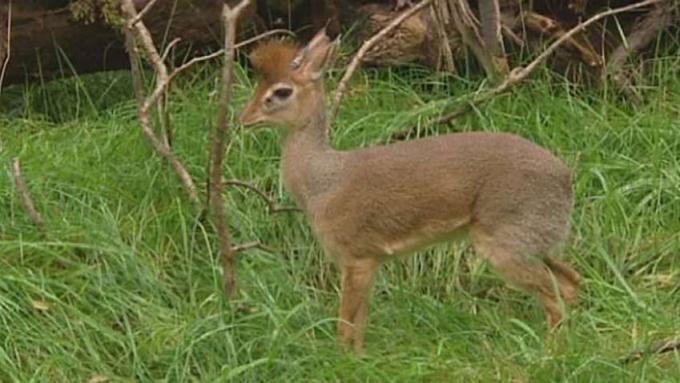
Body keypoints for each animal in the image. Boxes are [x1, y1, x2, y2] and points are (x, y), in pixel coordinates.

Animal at [238, 29, 580, 354]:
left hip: (506, 244)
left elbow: (345, 325)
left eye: (281, 91)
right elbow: (360, 325)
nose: (245, 118)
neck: (322, 182)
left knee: (555, 296)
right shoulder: (370, 261)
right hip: (537, 243)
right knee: (571, 282)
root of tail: (565, 178)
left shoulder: (357, 256)